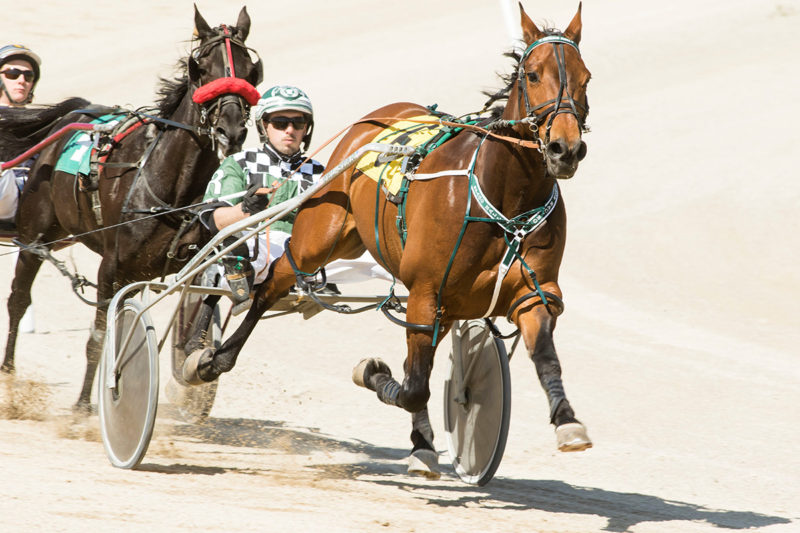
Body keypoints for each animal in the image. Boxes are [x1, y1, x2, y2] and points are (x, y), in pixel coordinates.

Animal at [0, 6, 263, 412]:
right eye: (201, 68)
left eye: (250, 70)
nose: (230, 131)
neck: (168, 187)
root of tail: (73, 116)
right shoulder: (112, 268)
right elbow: (98, 336)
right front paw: (84, 406)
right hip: (35, 236)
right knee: (18, 300)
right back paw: (10, 378)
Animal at [183, 3, 593, 476]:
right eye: (532, 73)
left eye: (586, 77)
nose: (565, 149)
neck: (502, 197)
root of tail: (378, 117)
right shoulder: (427, 291)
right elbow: (412, 386)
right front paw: (371, 372)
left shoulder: (529, 292)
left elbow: (543, 356)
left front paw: (567, 421)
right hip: (319, 237)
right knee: (273, 283)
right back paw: (212, 359)